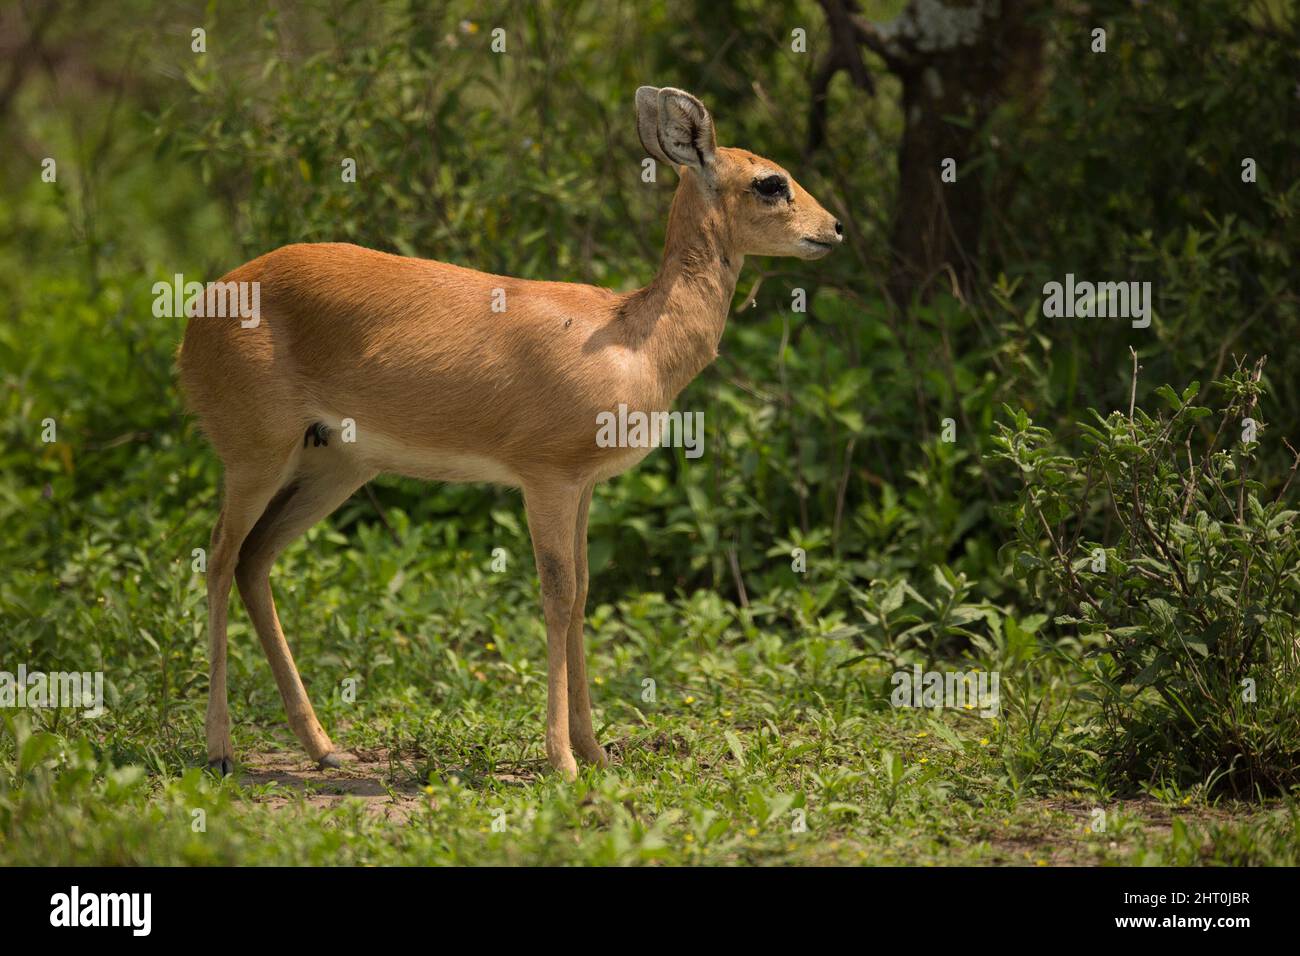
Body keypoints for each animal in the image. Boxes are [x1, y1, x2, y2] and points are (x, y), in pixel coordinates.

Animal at [178, 86, 842, 780]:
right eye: (770, 182)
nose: (834, 229)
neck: (632, 339)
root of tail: (202, 308)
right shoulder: (546, 478)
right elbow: (557, 594)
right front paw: (563, 760)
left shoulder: (585, 485)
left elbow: (582, 593)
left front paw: (595, 751)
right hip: (255, 457)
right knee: (219, 556)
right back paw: (221, 749)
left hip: (335, 467)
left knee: (254, 560)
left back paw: (325, 746)